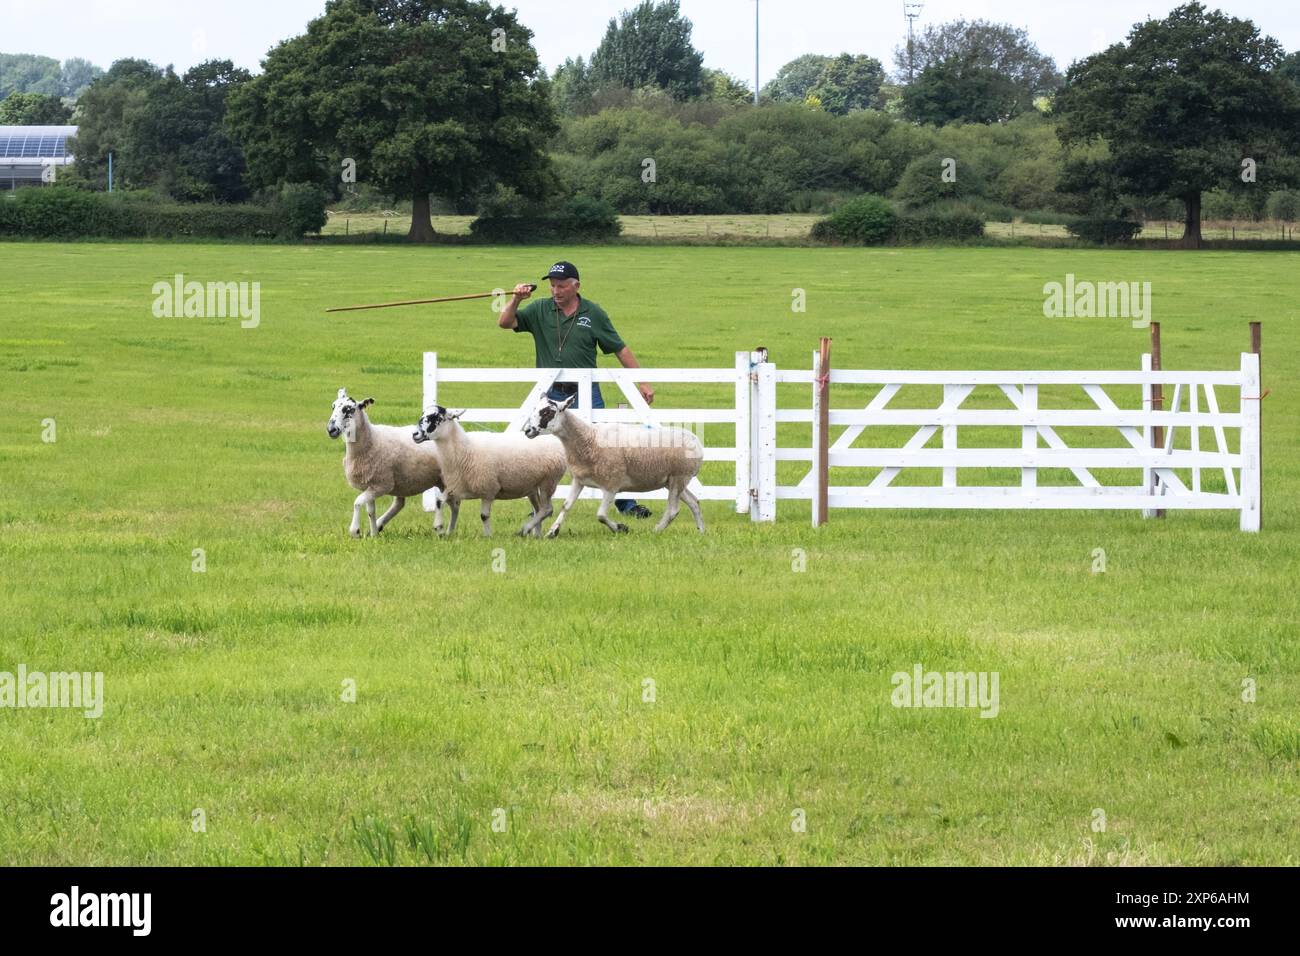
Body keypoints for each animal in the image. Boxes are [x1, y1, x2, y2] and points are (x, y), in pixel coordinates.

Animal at [326, 388, 445, 538]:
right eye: (333, 406)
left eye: (349, 409)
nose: (331, 430)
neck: (372, 439)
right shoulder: (370, 485)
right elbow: (371, 511)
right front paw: (373, 535)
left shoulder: (381, 485)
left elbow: (357, 502)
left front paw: (355, 531)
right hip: (404, 481)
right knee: (399, 504)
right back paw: (379, 525)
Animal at [412, 405, 568, 538]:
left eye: (436, 417)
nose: (415, 434)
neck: (465, 449)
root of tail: (554, 440)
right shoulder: (456, 486)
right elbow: (439, 501)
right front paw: (439, 528)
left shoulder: (488, 489)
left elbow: (484, 516)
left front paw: (488, 536)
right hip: (532, 487)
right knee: (538, 509)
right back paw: (536, 535)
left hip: (549, 481)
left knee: (547, 509)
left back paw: (525, 529)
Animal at [522, 394, 705, 536]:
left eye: (547, 412)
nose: (527, 431)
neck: (588, 439)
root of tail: (697, 442)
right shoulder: (579, 480)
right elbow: (566, 507)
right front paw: (552, 531)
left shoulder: (612, 485)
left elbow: (601, 515)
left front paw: (621, 528)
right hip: (672, 481)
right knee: (694, 502)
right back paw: (701, 531)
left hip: (678, 477)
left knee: (673, 509)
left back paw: (656, 530)